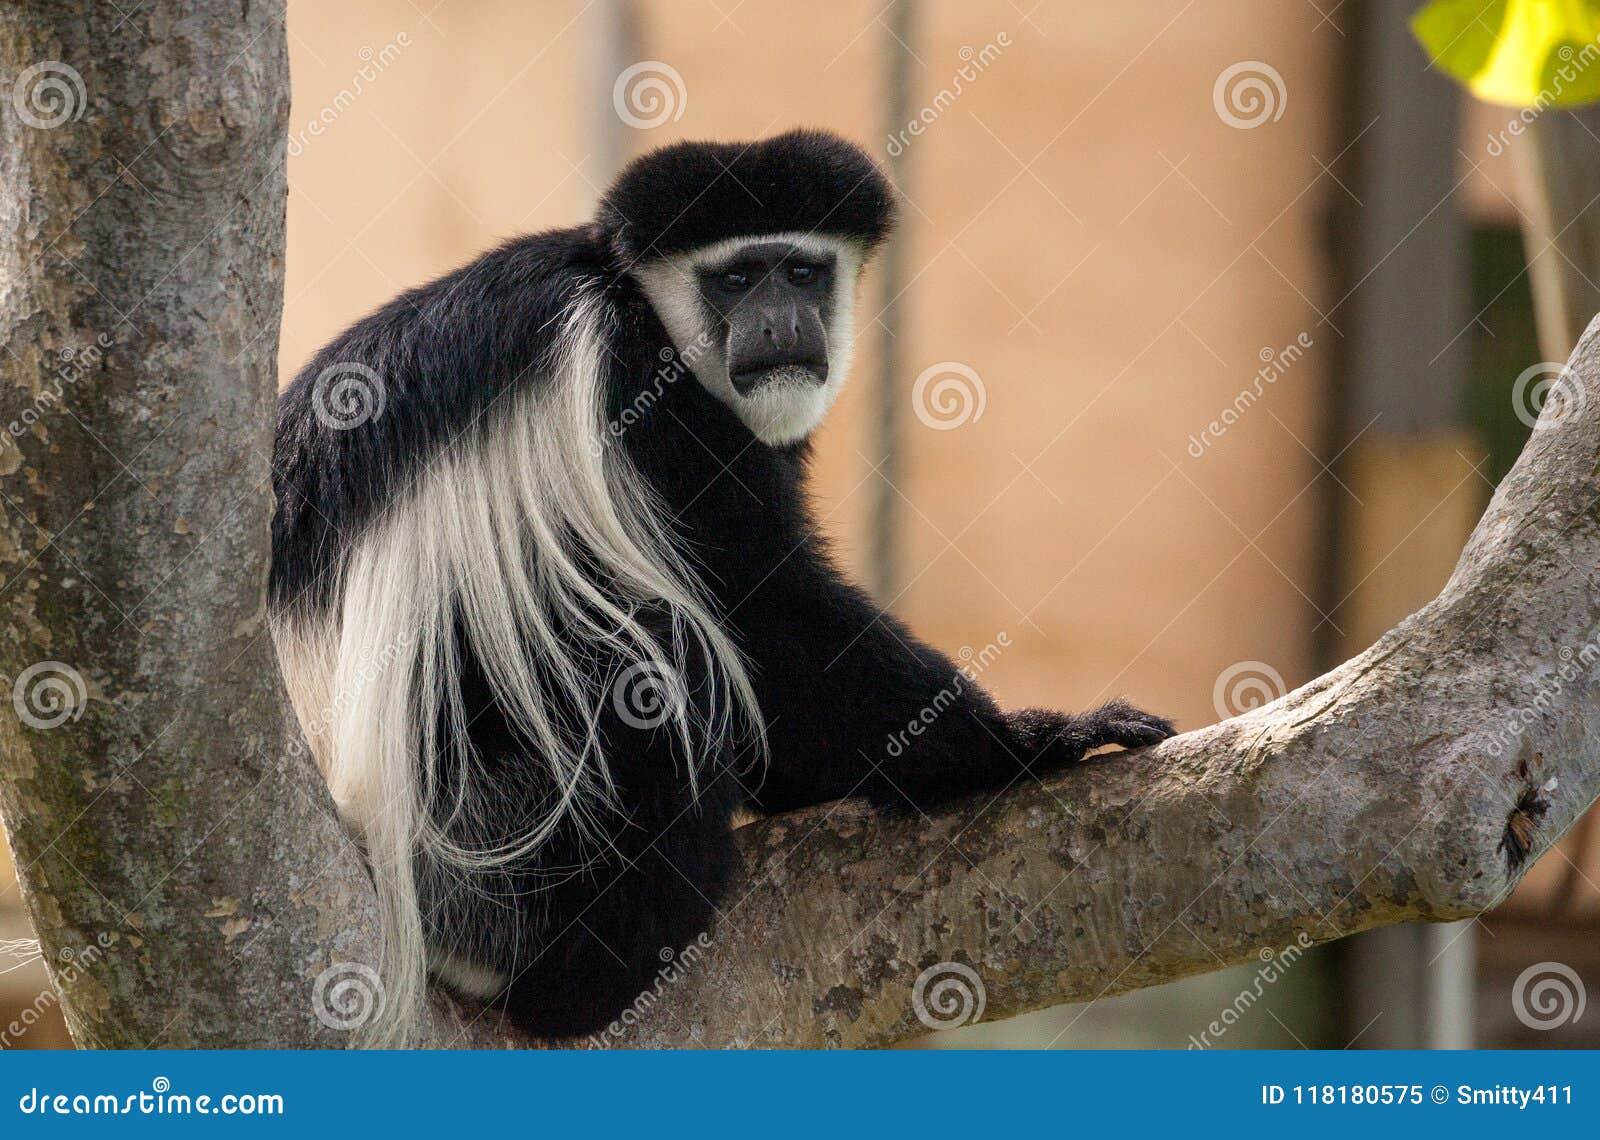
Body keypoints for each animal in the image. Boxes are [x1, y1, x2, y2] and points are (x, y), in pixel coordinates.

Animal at [269, 129, 1173, 1044]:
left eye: (802, 271)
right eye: (735, 279)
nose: (779, 323)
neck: (627, 292)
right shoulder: (642, 395)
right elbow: (769, 614)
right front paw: (1035, 738)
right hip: (484, 835)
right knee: (654, 662)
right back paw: (594, 974)